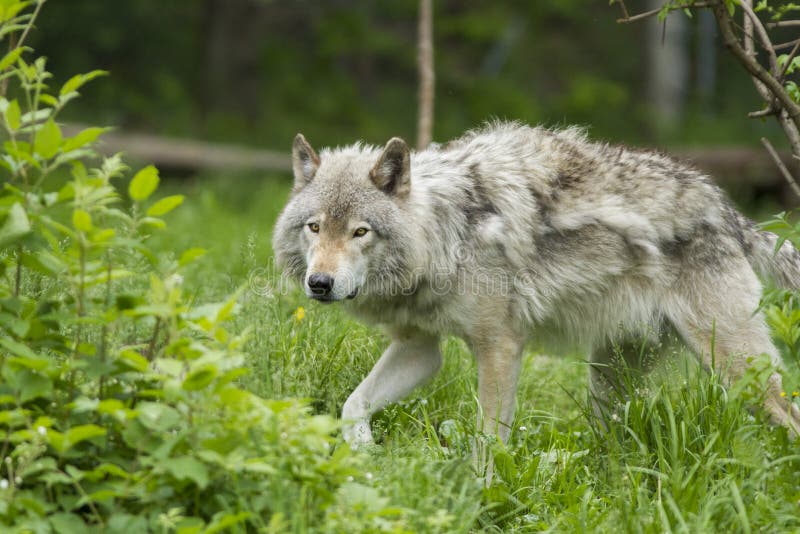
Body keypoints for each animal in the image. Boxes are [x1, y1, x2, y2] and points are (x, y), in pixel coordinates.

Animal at [272, 122, 800, 449]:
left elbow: (488, 442)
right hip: (610, 381)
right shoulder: (420, 348)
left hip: (737, 371)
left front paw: (481, 497)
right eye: (315, 228)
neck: (444, 234)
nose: (320, 283)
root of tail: (726, 209)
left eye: (360, 232)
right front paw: (364, 458)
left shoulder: (500, 348)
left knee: (788, 416)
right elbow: (352, 406)